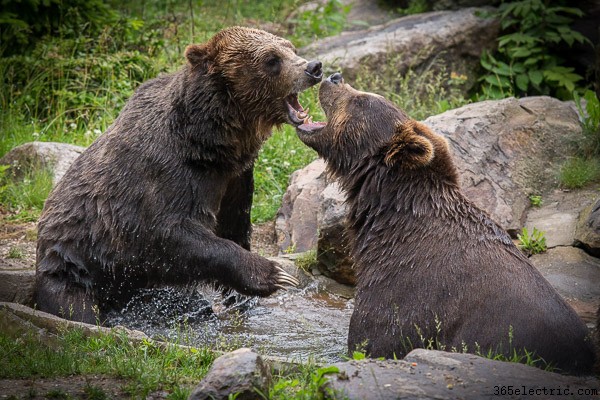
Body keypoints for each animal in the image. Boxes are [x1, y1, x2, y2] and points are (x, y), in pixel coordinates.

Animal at [34, 26, 322, 324]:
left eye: (291, 48)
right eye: (271, 59)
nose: (313, 67)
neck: (211, 142)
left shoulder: (236, 177)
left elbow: (233, 225)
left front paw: (241, 296)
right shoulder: (167, 173)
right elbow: (169, 232)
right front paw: (274, 274)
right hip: (74, 261)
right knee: (73, 304)